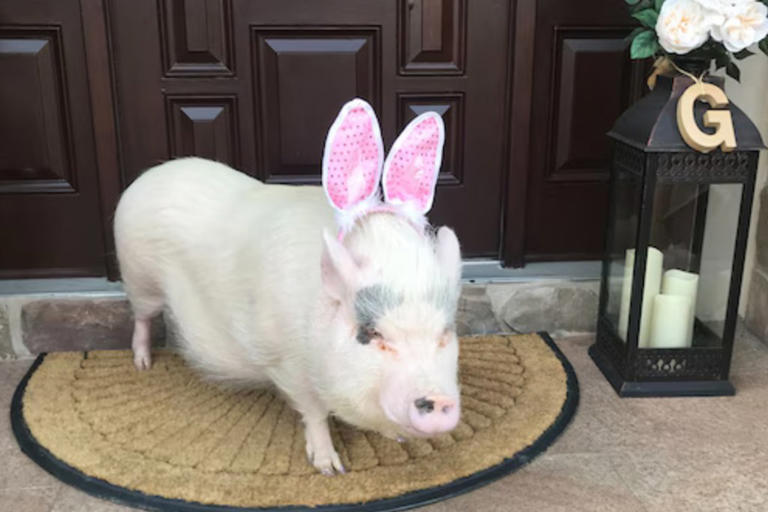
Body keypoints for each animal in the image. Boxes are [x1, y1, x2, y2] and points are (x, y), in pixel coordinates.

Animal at [113, 98, 462, 475]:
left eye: (445, 333)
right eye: (370, 334)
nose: (438, 399)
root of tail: (146, 178)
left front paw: (395, 439)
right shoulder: (287, 363)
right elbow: (314, 412)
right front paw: (330, 468)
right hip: (139, 277)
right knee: (142, 318)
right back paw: (143, 364)